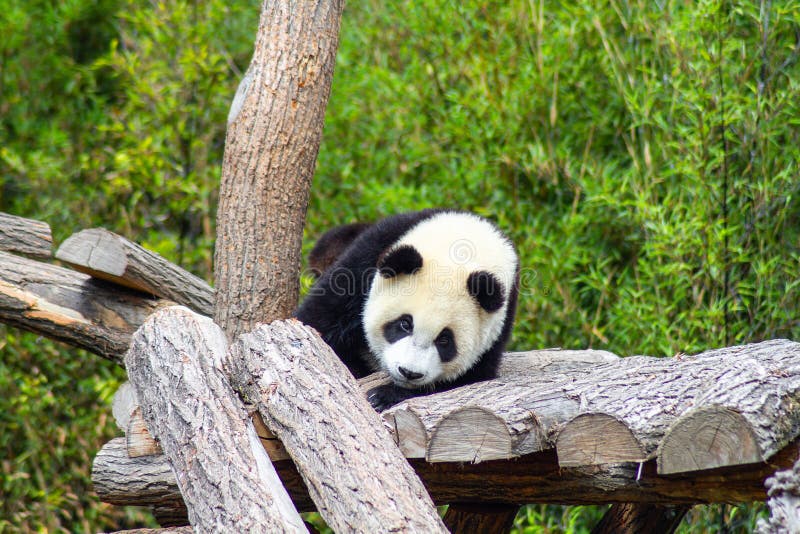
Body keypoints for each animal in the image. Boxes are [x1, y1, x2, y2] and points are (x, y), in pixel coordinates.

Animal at [294, 209, 519, 411]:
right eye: (404, 324)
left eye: (444, 340)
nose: (409, 373)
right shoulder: (370, 256)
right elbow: (320, 320)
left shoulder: (497, 327)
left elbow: (467, 380)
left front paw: (383, 396)